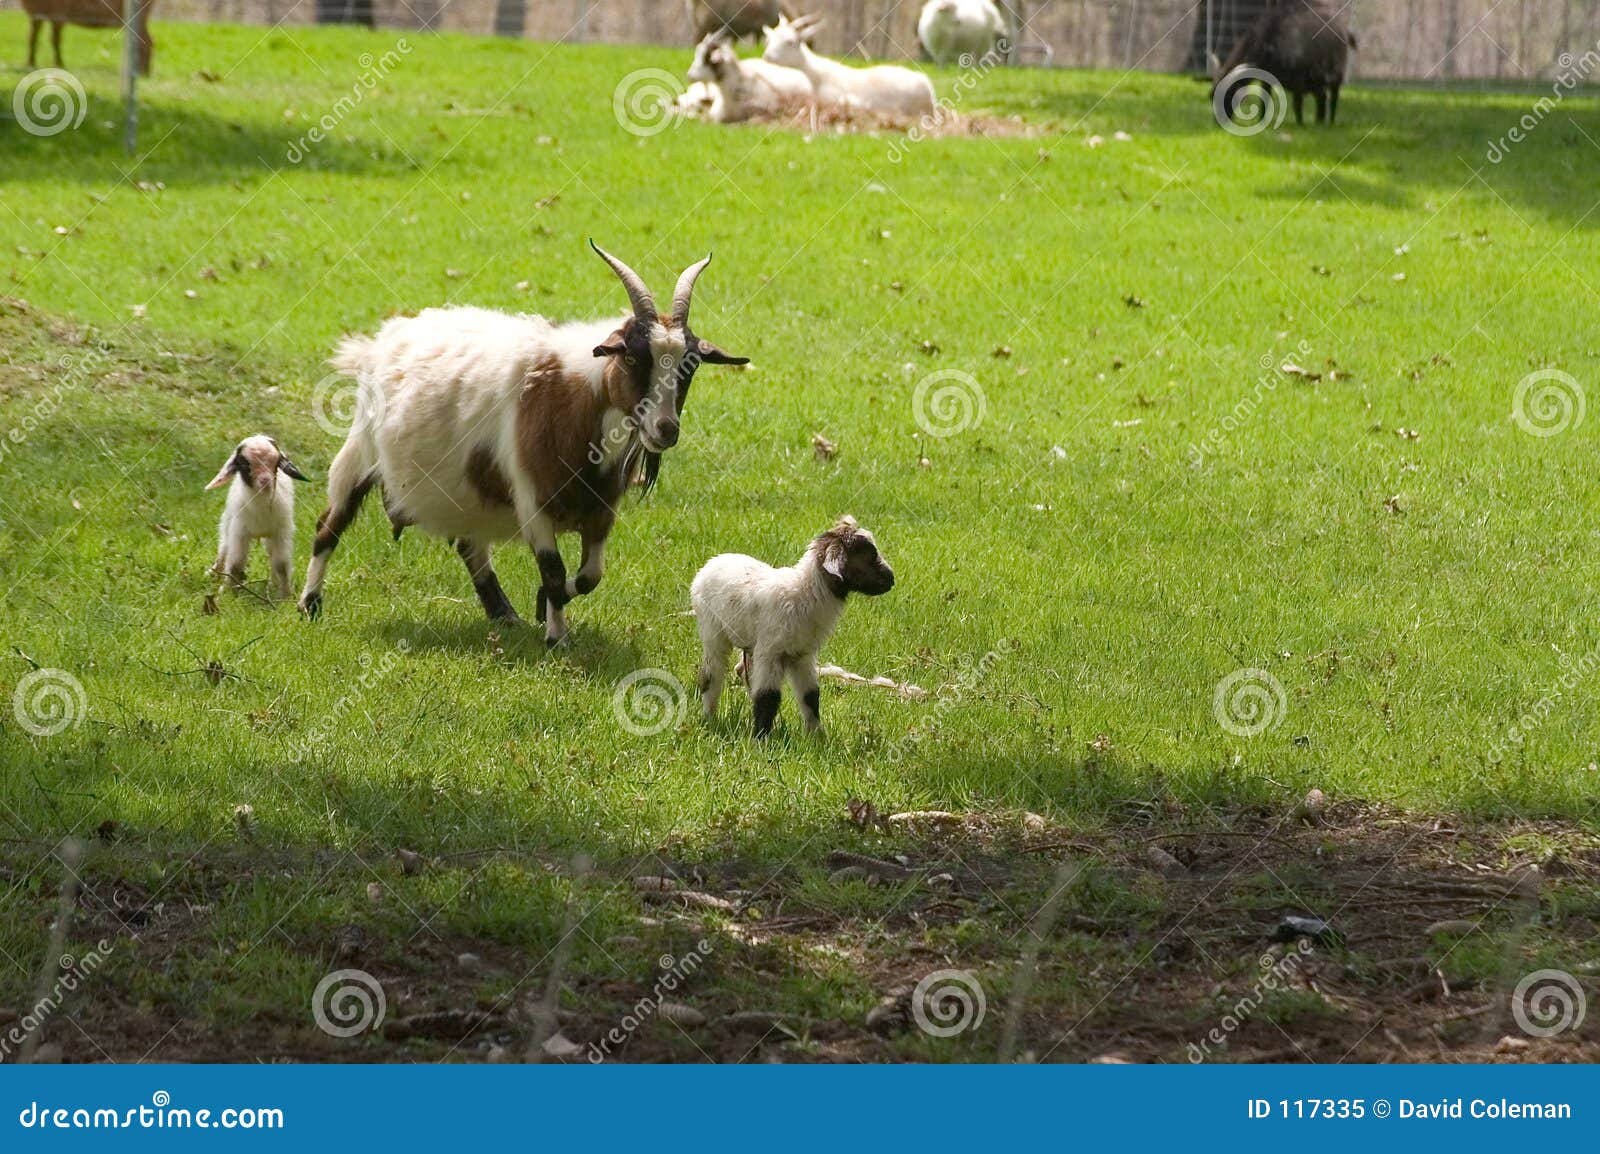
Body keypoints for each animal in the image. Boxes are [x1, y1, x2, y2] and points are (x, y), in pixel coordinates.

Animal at [22, 0, 153, 76]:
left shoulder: (58, 15)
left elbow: (54, 40)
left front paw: (59, 64)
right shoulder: (36, 16)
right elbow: (32, 38)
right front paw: (30, 64)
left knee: (147, 42)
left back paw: (142, 72)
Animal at [205, 434, 306, 603]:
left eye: (277, 462)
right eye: (244, 463)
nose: (265, 481)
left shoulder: (281, 532)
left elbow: (281, 564)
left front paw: (286, 596)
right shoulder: (239, 531)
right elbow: (235, 564)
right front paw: (227, 595)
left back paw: (274, 583)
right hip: (228, 522)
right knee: (224, 548)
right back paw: (215, 572)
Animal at [299, 242, 749, 646]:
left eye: (690, 366)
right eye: (634, 358)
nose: (665, 429)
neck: (574, 400)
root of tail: (386, 337)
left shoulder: (602, 509)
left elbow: (588, 577)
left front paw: (541, 607)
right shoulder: (534, 502)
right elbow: (553, 569)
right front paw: (556, 638)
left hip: (466, 490)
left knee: (469, 544)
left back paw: (505, 614)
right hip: (361, 452)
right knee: (330, 525)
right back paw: (309, 604)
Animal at [691, 515, 894, 737]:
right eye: (867, 555)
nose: (891, 579)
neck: (805, 591)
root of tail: (711, 563)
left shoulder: (803, 655)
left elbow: (810, 696)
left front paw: (816, 736)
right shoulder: (771, 652)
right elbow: (768, 697)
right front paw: (761, 738)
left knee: (743, 671)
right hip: (712, 630)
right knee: (711, 675)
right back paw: (710, 718)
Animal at [1213, 0, 1354, 126]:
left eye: (1228, 94)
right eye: (1212, 95)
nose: (1217, 122)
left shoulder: (1299, 80)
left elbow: (1297, 103)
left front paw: (1300, 124)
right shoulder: (1267, 80)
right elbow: (1264, 101)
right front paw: (1261, 122)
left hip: (1335, 75)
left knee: (1333, 98)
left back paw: (1330, 122)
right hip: (1317, 80)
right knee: (1322, 97)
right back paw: (1318, 121)